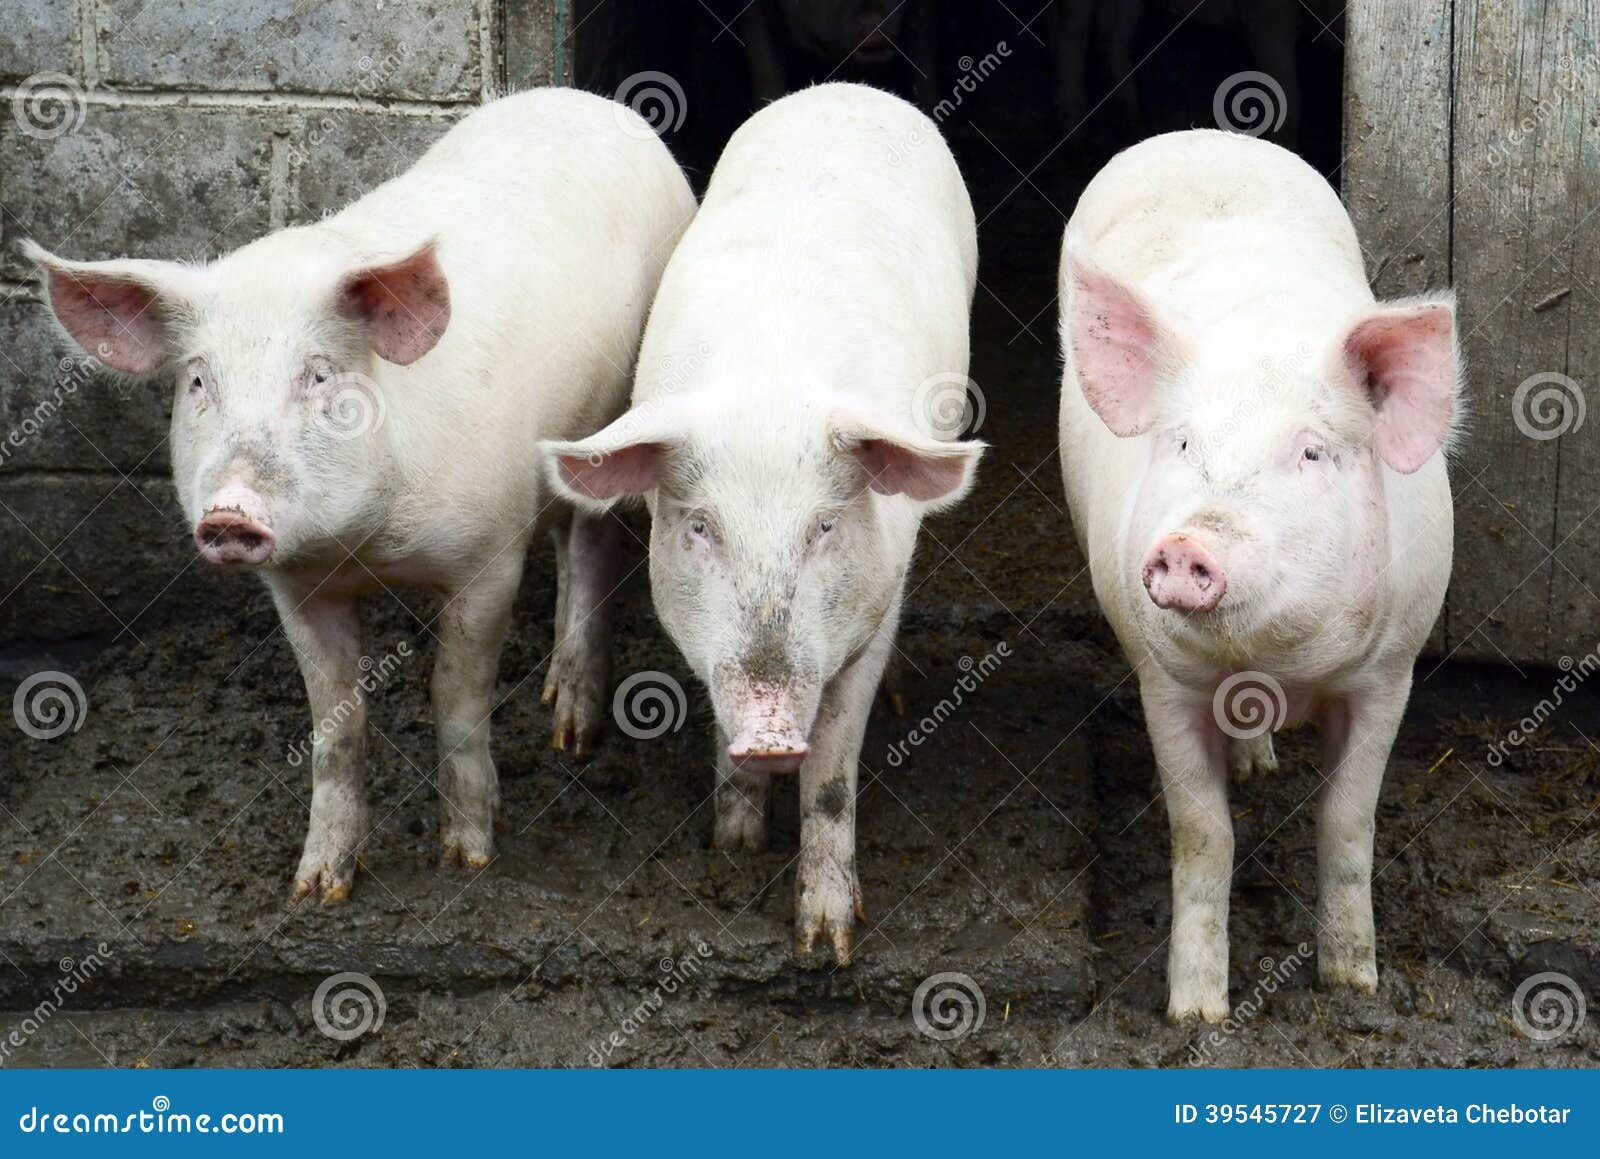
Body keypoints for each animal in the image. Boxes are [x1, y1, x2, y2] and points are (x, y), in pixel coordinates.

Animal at [23, 89, 696, 902]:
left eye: (318, 375)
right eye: (199, 381)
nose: (229, 513)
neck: (368, 548)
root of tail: (591, 100)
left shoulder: (488, 557)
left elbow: (455, 699)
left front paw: (468, 859)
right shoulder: (297, 588)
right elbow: (337, 725)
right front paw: (317, 889)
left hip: (607, 416)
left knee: (591, 544)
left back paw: (569, 730)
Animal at [543, 83, 983, 964]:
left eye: (824, 527)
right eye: (702, 528)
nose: (773, 729)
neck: (768, 381)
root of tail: (848, 89)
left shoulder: (872, 606)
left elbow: (835, 774)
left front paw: (827, 942)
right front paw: (735, 848)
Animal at [1057, 129, 1460, 1021]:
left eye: (1310, 451)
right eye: (1181, 442)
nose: (1190, 542)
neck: (1275, 666)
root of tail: (1203, 134)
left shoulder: (1391, 672)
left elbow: (1346, 821)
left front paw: (1352, 982)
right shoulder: (1164, 679)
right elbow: (1203, 832)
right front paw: (1196, 1014)